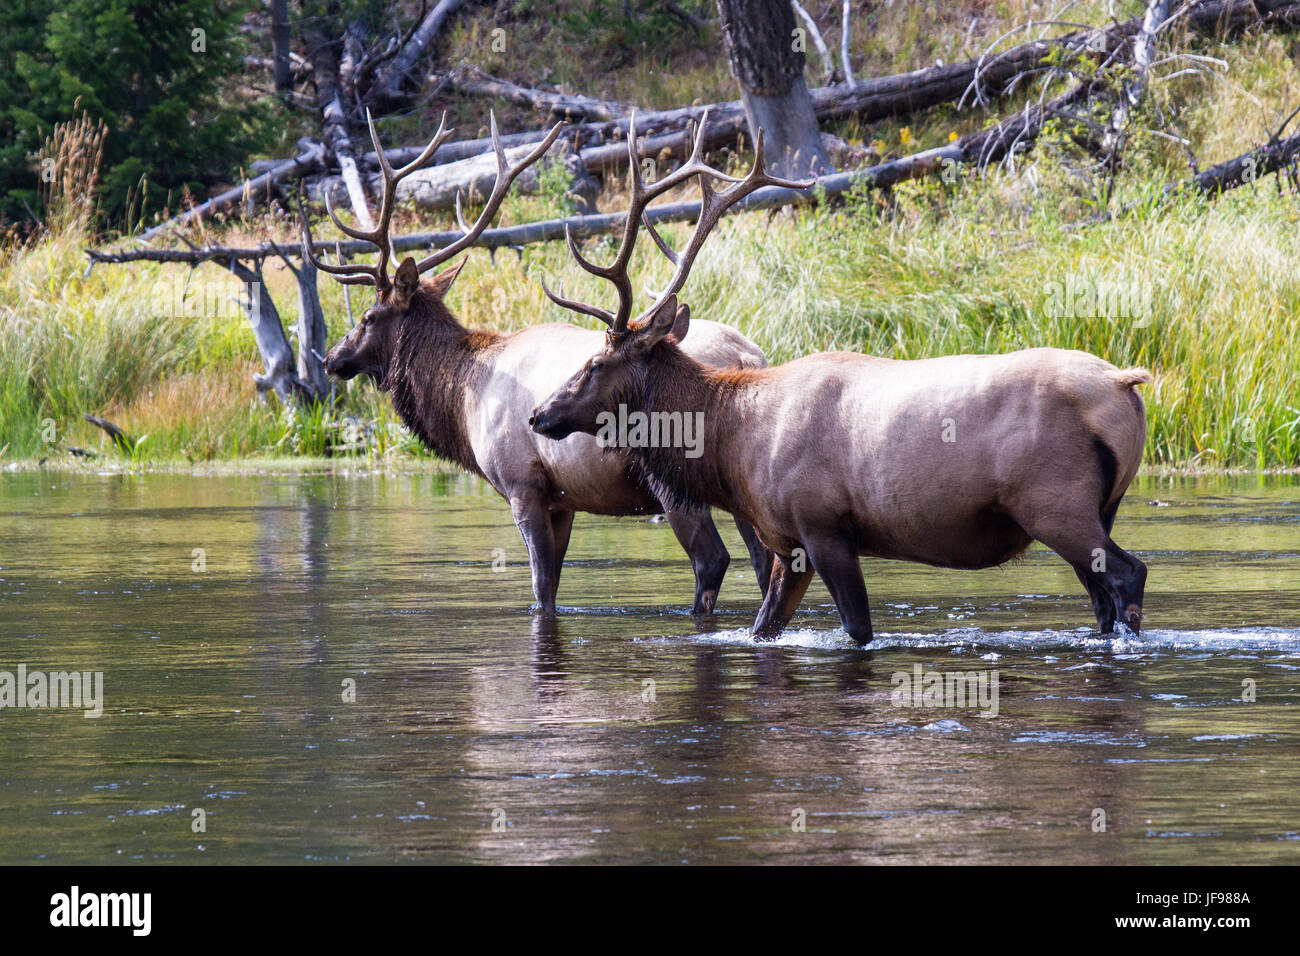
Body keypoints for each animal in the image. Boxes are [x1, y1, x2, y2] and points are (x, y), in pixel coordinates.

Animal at [301, 110, 774, 616]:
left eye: (368, 317)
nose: (331, 358)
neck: (462, 399)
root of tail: (749, 355)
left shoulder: (521, 485)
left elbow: (541, 587)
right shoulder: (562, 498)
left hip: (673, 477)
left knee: (713, 559)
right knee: (765, 561)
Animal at [529, 111, 1152, 646]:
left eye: (595, 364)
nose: (538, 414)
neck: (732, 448)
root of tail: (1126, 385)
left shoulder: (821, 524)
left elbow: (857, 628)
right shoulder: (788, 542)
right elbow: (765, 627)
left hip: (1056, 502)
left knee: (1129, 574)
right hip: (1101, 505)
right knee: (1103, 597)